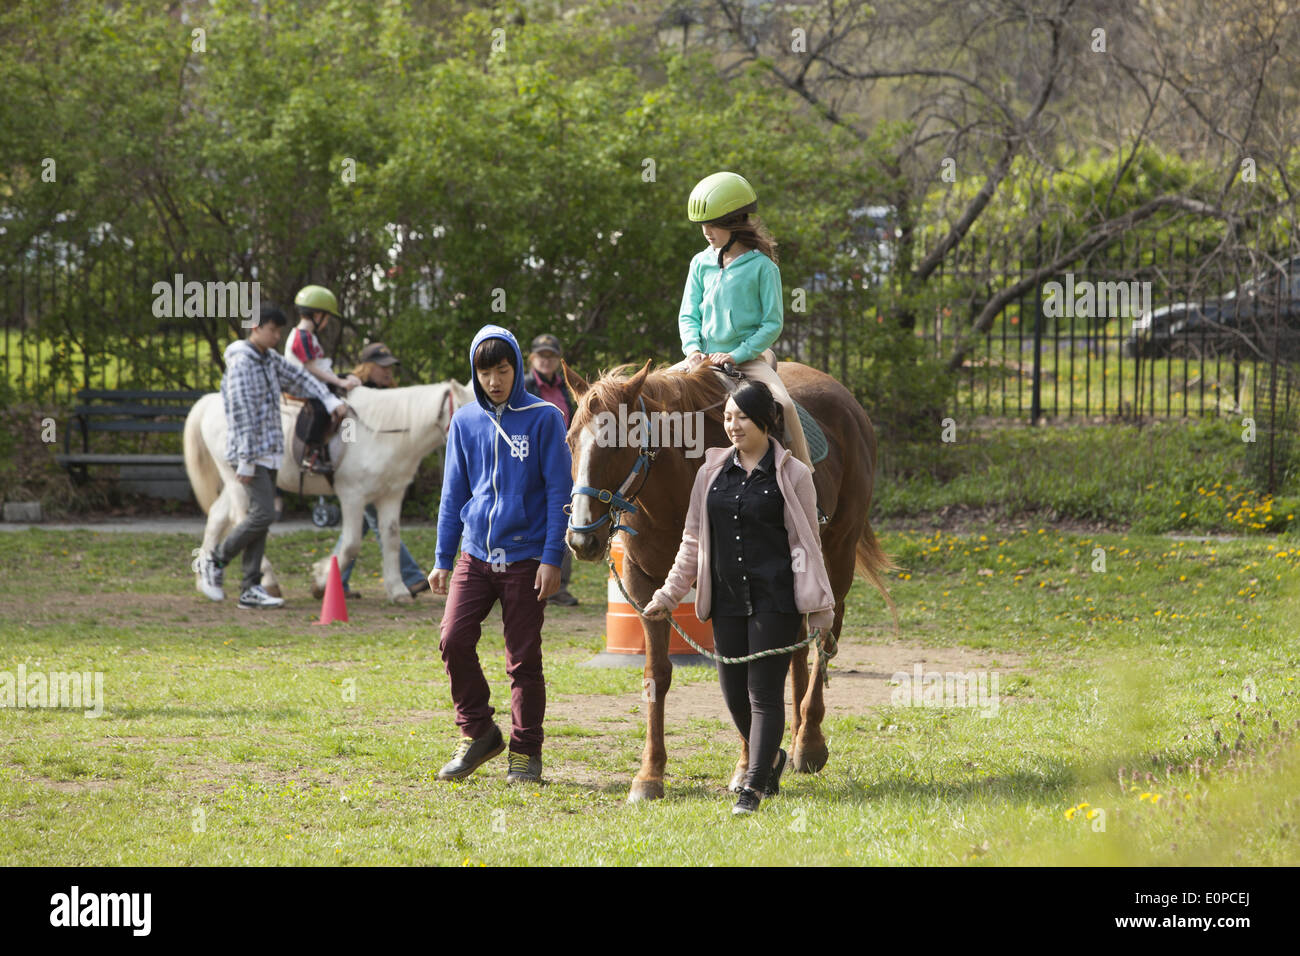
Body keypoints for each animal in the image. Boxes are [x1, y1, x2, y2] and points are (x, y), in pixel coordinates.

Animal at [183, 380, 473, 603]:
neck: (384, 432)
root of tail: (211, 402)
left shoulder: (391, 495)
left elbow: (390, 539)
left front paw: (398, 590)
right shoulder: (352, 496)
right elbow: (352, 543)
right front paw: (322, 581)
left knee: (218, 516)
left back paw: (205, 581)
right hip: (240, 479)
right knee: (242, 519)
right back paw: (266, 579)